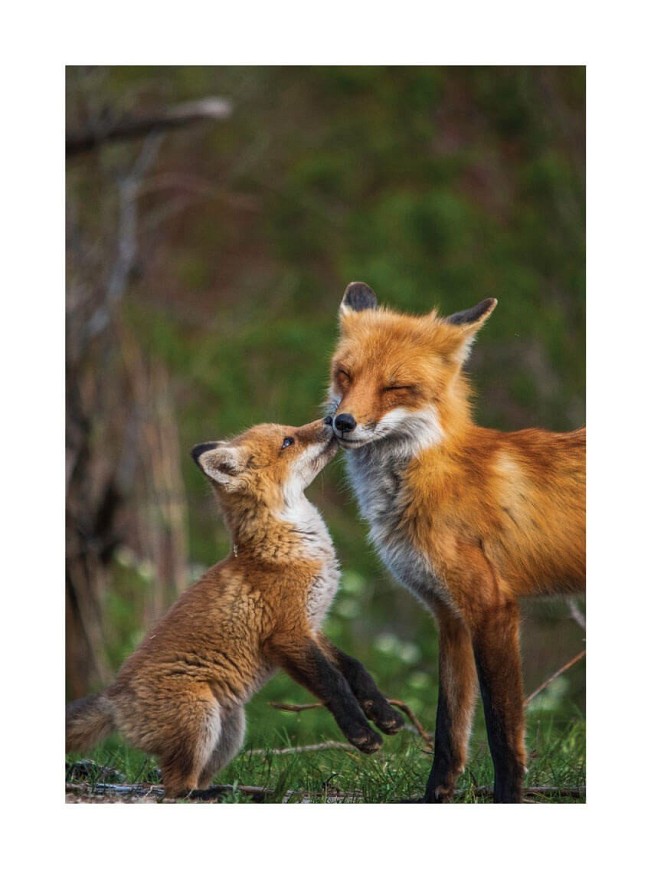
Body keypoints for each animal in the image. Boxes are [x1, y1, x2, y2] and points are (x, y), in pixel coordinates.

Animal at [66, 418, 404, 797]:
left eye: (290, 430)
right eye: (288, 441)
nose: (334, 420)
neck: (290, 548)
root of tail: (114, 698)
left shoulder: (311, 625)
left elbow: (355, 668)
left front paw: (385, 713)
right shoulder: (287, 636)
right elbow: (334, 684)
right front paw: (361, 734)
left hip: (230, 729)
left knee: (190, 778)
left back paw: (236, 791)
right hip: (201, 718)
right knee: (175, 789)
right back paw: (209, 794)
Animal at [325, 282, 585, 803]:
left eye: (395, 387)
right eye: (345, 374)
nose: (341, 423)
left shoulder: (492, 608)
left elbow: (502, 732)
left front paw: (509, 798)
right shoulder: (448, 615)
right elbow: (450, 732)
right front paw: (435, 798)